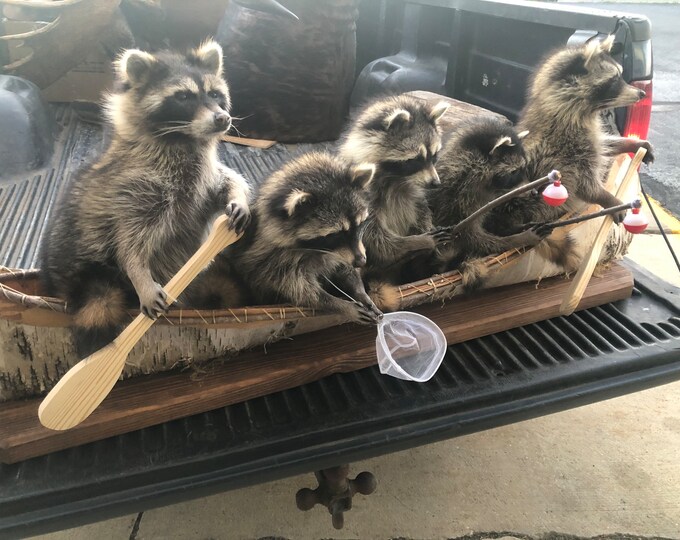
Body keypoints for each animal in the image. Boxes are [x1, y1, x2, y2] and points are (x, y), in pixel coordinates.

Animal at [39, 41, 252, 355]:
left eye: (215, 94)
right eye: (183, 97)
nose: (222, 118)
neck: (183, 138)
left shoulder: (203, 176)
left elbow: (226, 180)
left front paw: (238, 198)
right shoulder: (137, 185)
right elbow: (130, 240)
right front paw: (139, 273)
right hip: (84, 262)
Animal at [231, 152, 382, 324]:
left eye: (359, 224)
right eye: (335, 234)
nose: (362, 261)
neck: (319, 250)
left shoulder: (343, 252)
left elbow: (344, 266)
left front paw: (359, 290)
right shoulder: (268, 256)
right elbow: (293, 286)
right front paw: (338, 304)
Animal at [339, 95, 451, 281]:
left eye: (434, 156)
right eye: (415, 160)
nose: (436, 183)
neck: (398, 180)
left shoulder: (415, 191)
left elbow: (422, 210)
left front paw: (426, 228)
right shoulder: (363, 197)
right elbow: (375, 238)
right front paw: (413, 242)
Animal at [431, 117, 546, 271]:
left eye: (524, 168)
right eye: (515, 172)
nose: (533, 192)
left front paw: (513, 229)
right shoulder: (454, 201)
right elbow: (471, 238)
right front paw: (515, 239)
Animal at [485, 35, 653, 268]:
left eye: (620, 75)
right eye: (614, 80)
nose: (642, 93)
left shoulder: (586, 140)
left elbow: (604, 146)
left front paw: (631, 144)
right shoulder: (565, 151)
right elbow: (585, 186)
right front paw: (607, 197)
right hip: (514, 203)